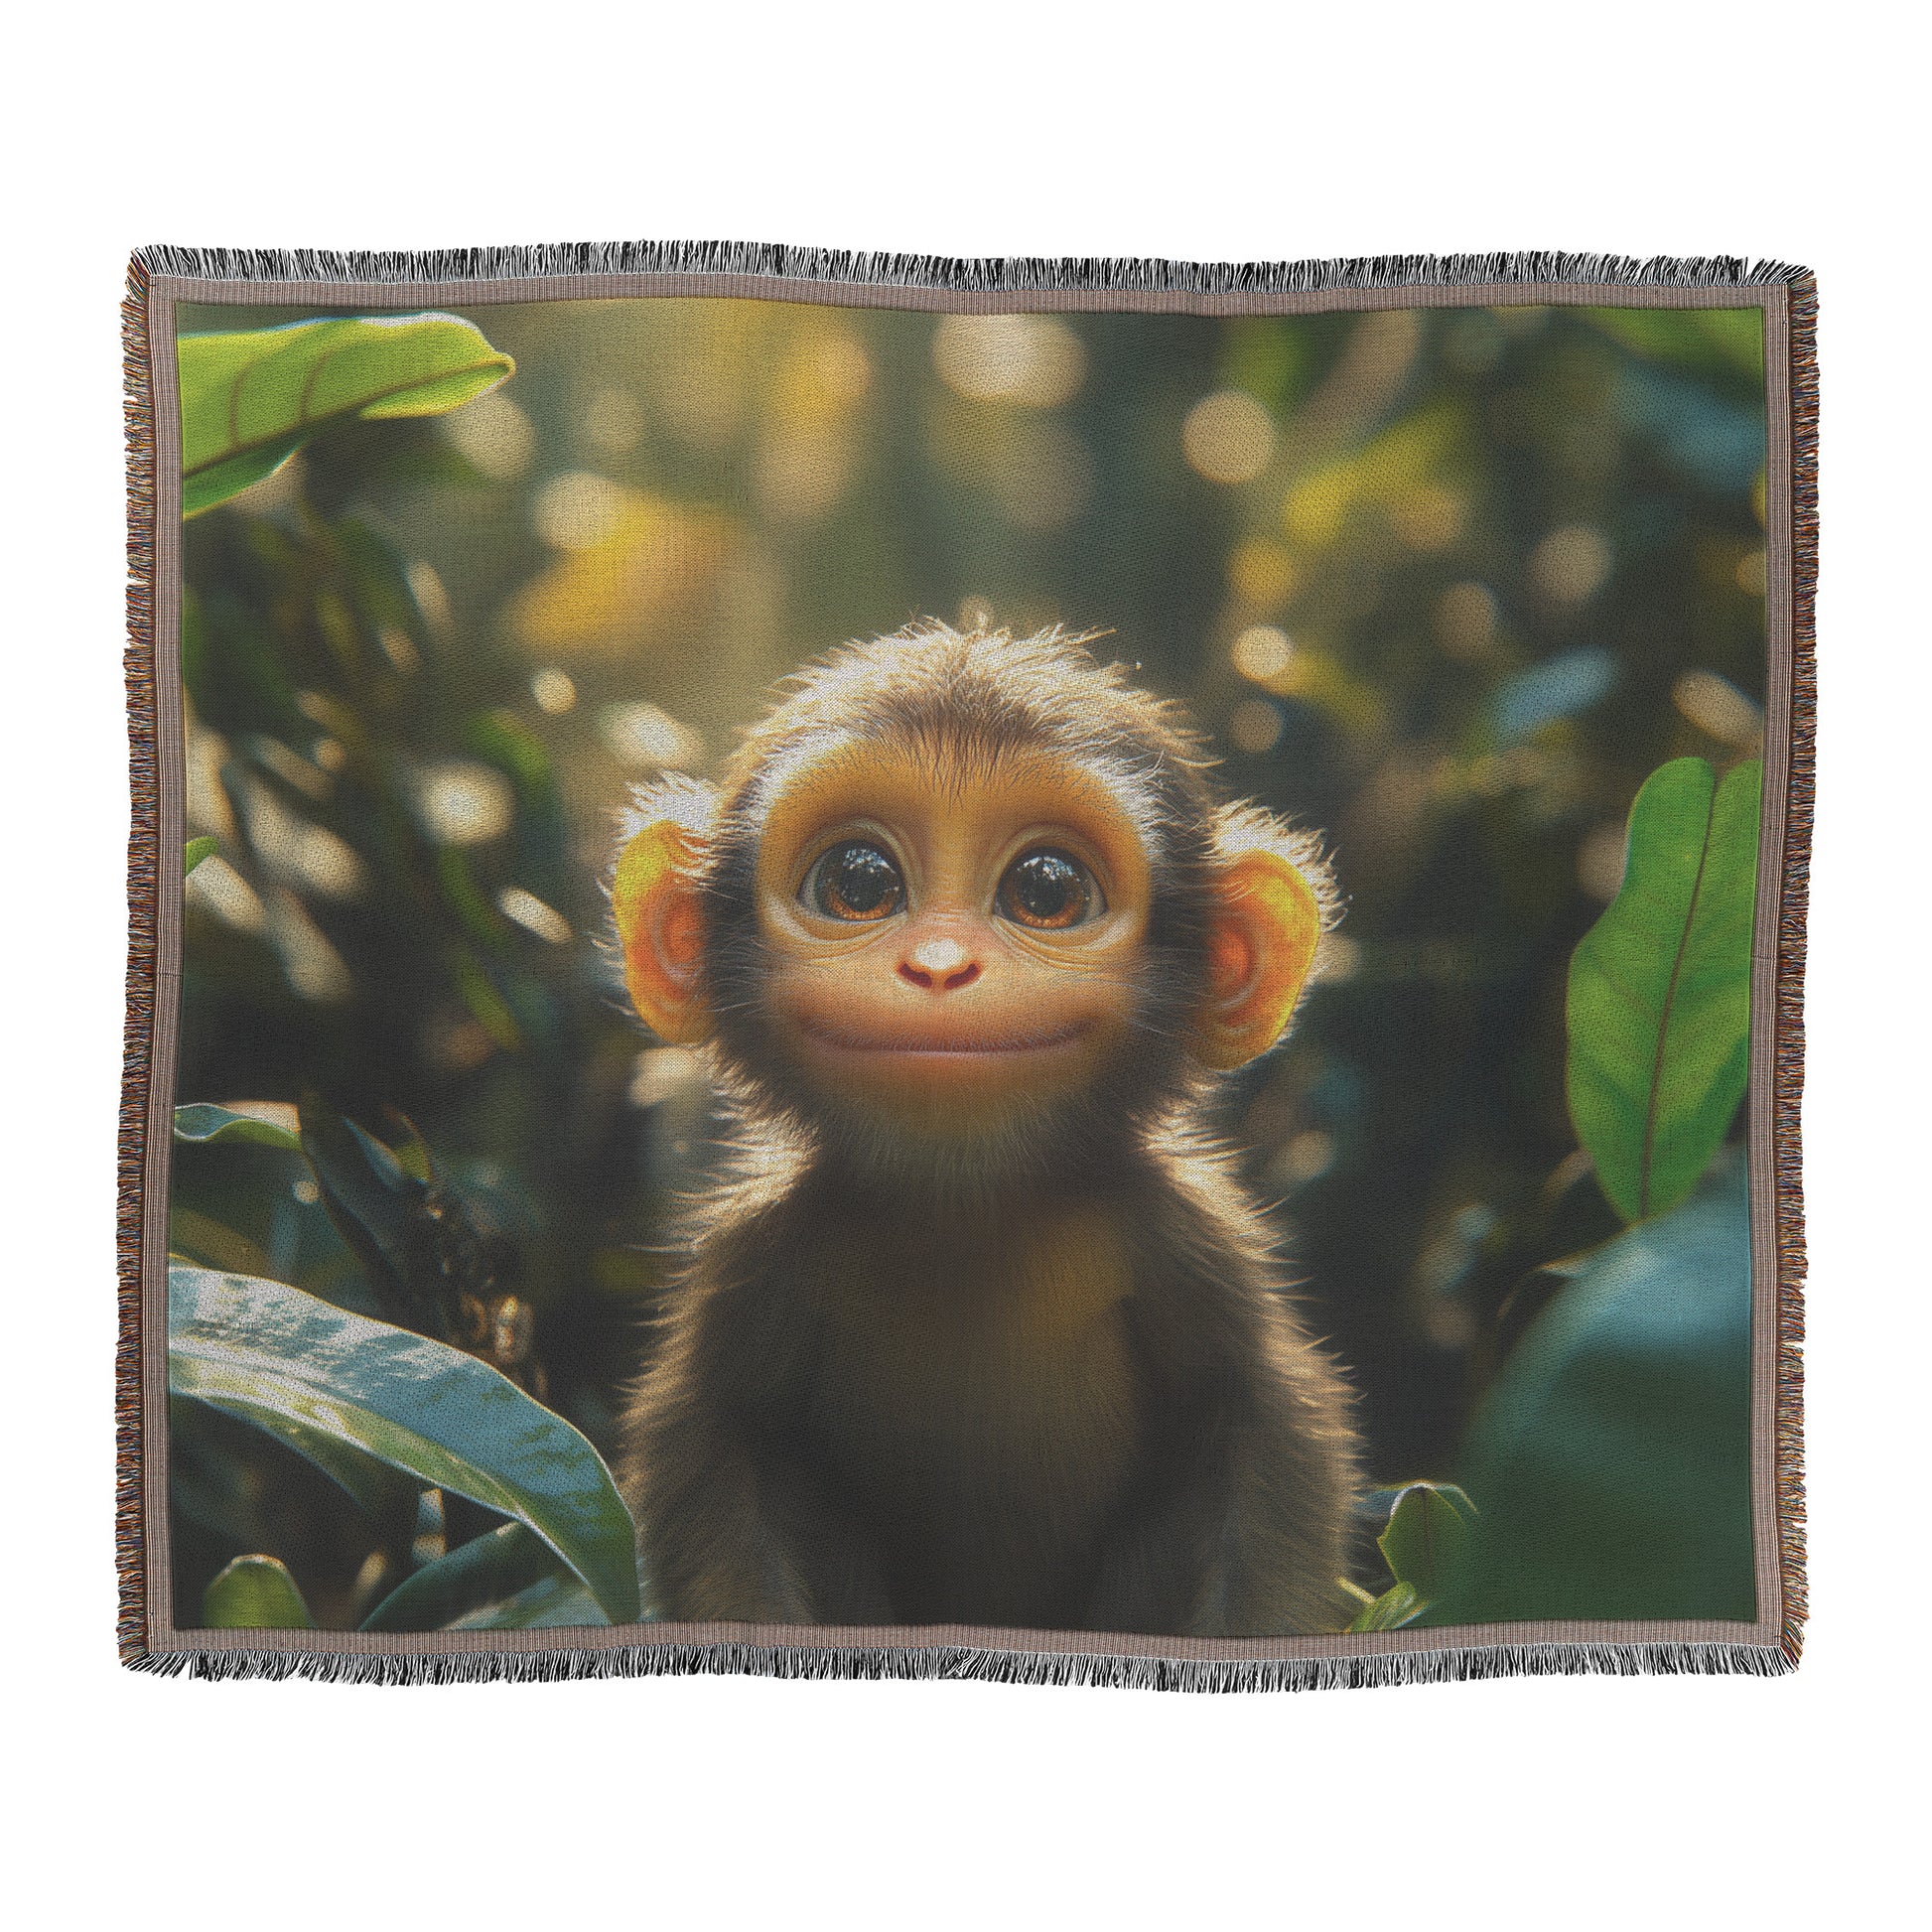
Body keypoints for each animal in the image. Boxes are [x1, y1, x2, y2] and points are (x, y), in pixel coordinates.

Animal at [610, 621, 1360, 1636]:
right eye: (859, 883)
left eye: (1046, 891)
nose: (939, 965)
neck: (967, 1211)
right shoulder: (758, 1257)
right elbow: (715, 1449)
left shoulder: (1185, 1237)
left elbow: (1268, 1425)